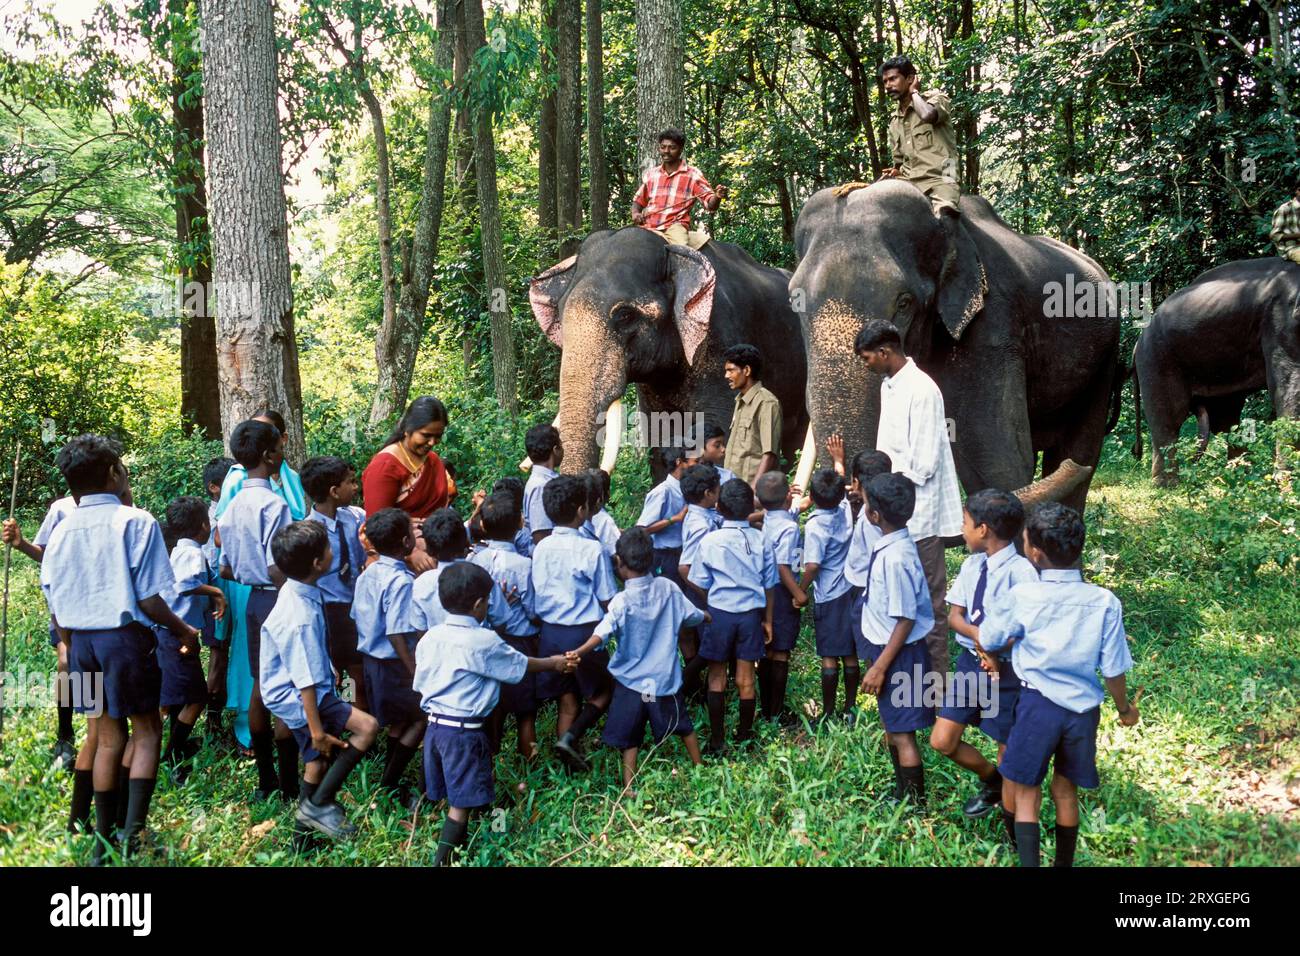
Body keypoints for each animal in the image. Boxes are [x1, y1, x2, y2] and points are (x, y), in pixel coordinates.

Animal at [788, 179, 1124, 512]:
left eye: (904, 303)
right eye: (794, 301)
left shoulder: (993, 326)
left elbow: (995, 460)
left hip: (1106, 356)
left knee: (1080, 451)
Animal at [1132, 257, 1300, 483]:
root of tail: (1137, 343)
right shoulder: (1281, 323)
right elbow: (1289, 389)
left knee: (1226, 416)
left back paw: (1238, 476)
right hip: (1156, 359)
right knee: (1169, 419)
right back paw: (1168, 485)